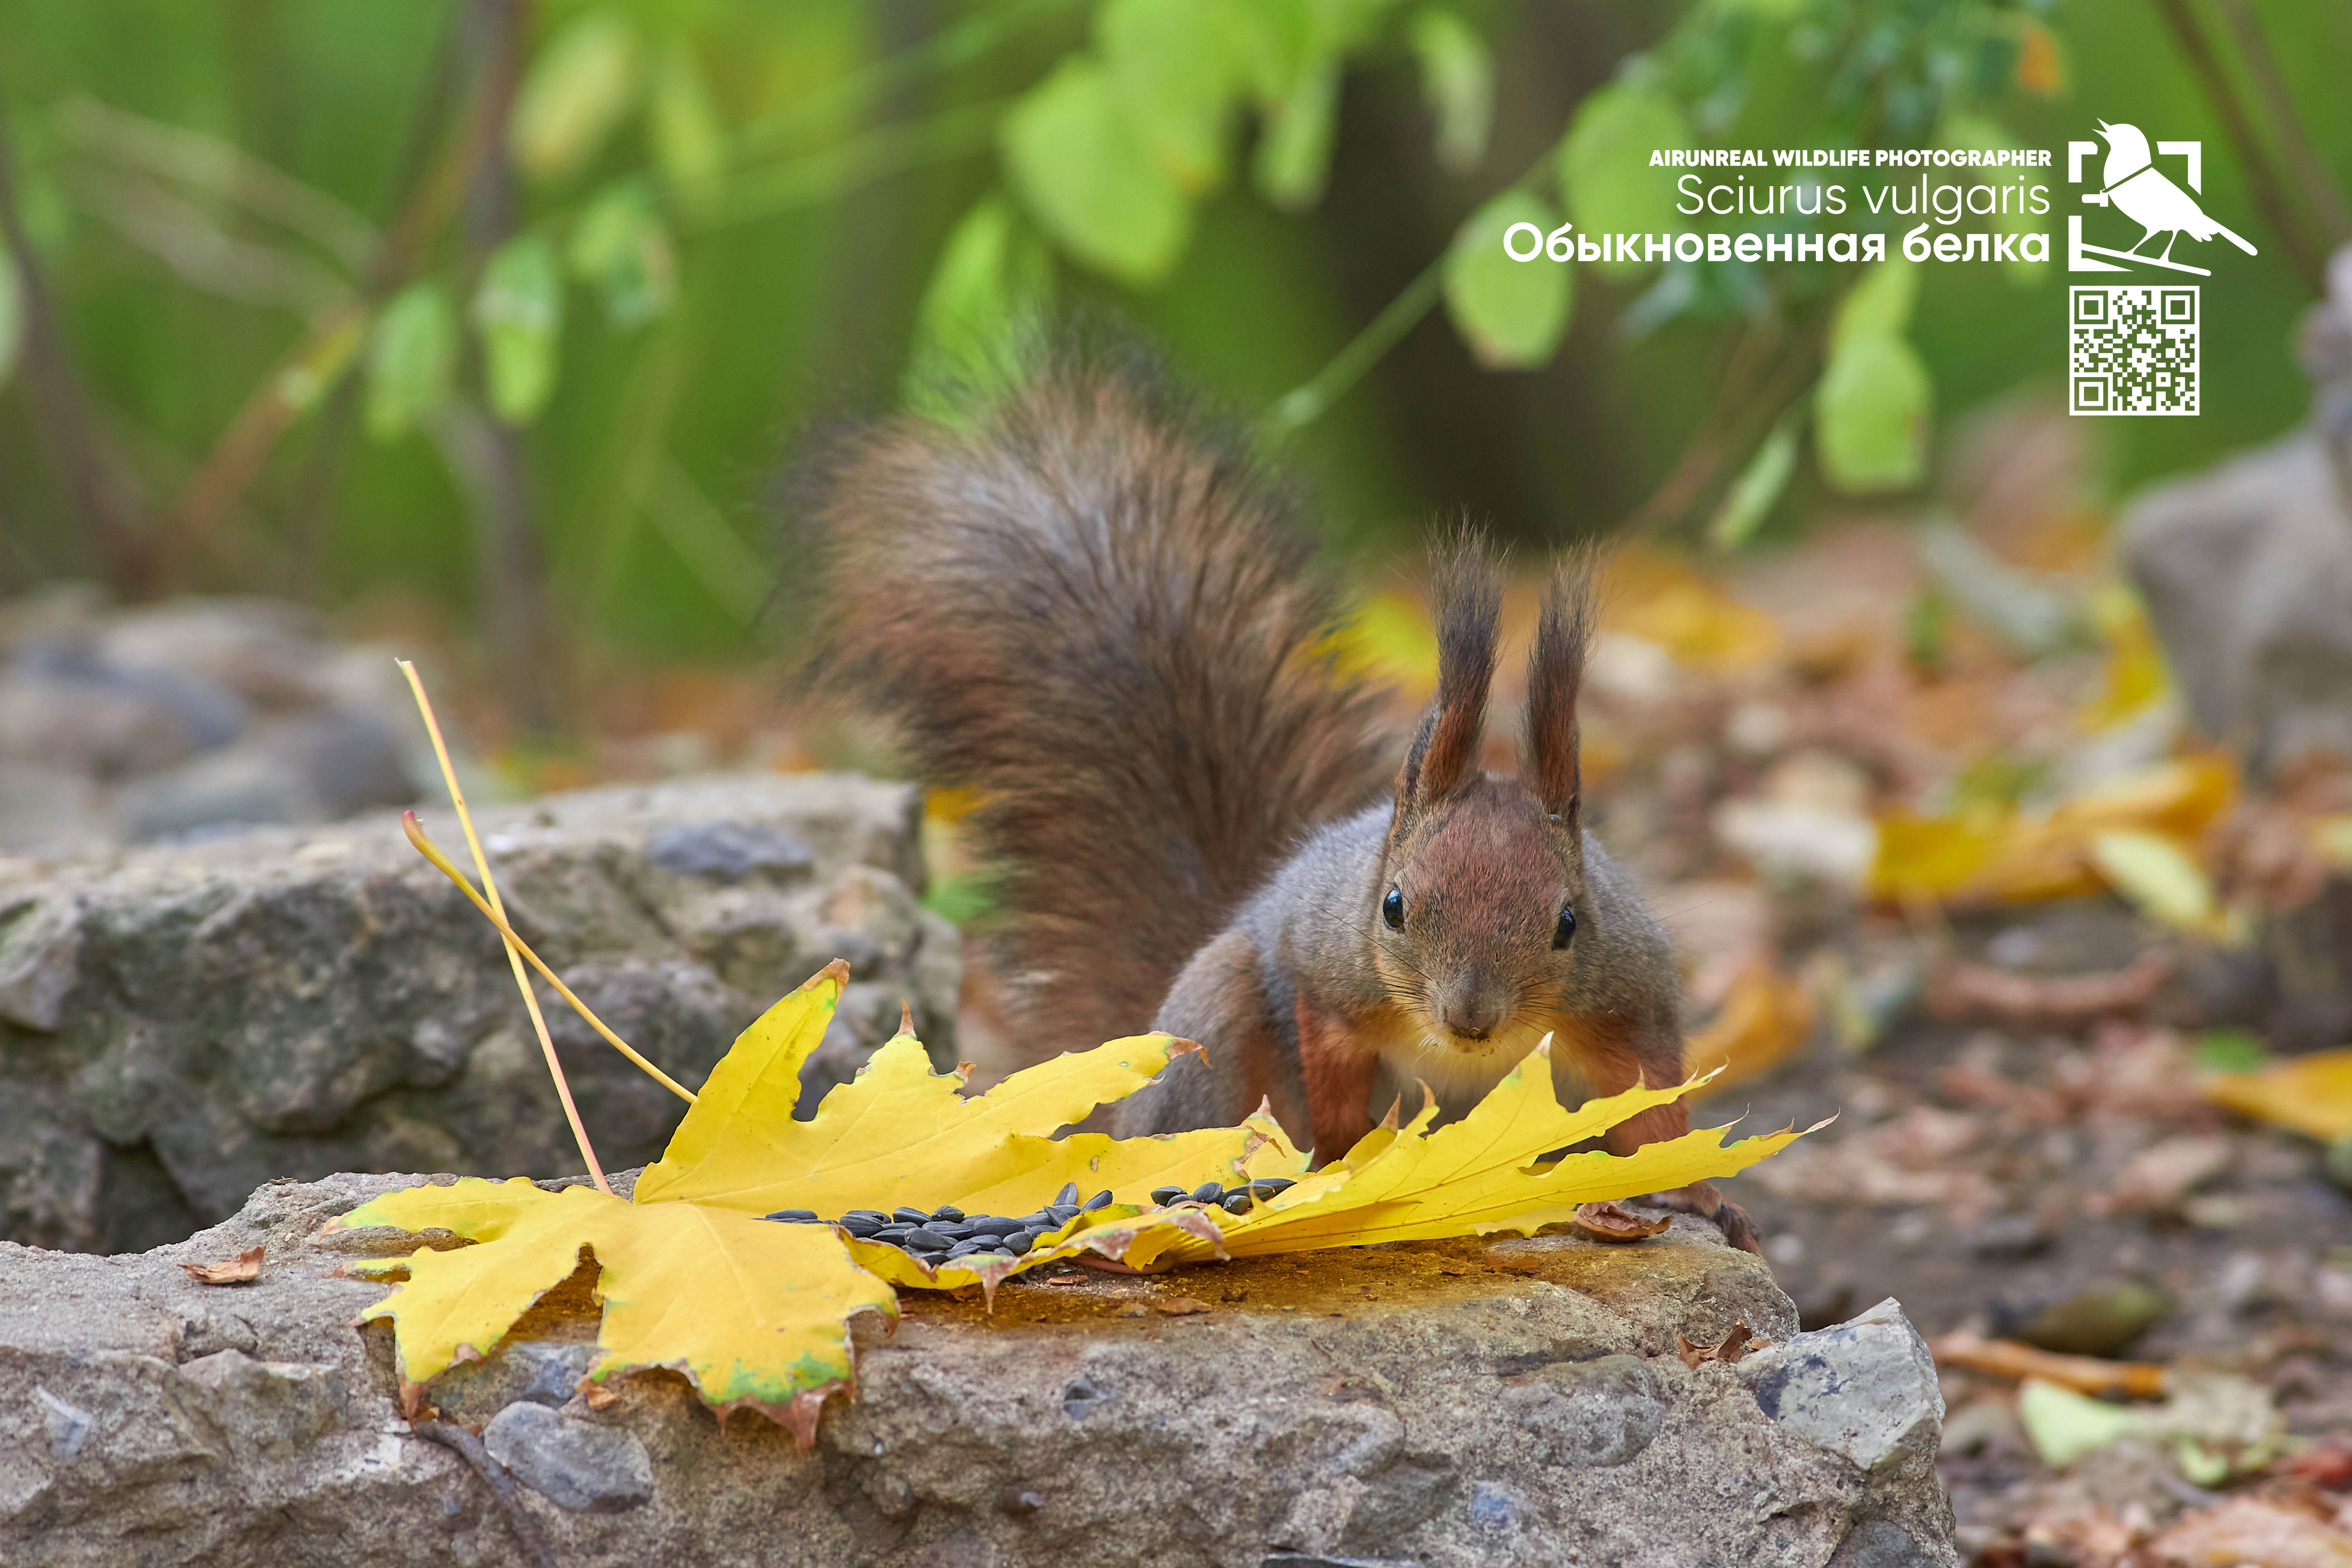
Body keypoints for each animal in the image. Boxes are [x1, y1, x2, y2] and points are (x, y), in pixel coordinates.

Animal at [799, 343, 1759, 1250]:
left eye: (1567, 923)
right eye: (1393, 906)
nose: (1470, 1018)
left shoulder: (1627, 1001)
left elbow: (1655, 1104)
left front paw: (1699, 1194)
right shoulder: (1325, 976)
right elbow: (1330, 1075)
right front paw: (1346, 1165)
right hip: (1213, 1026)